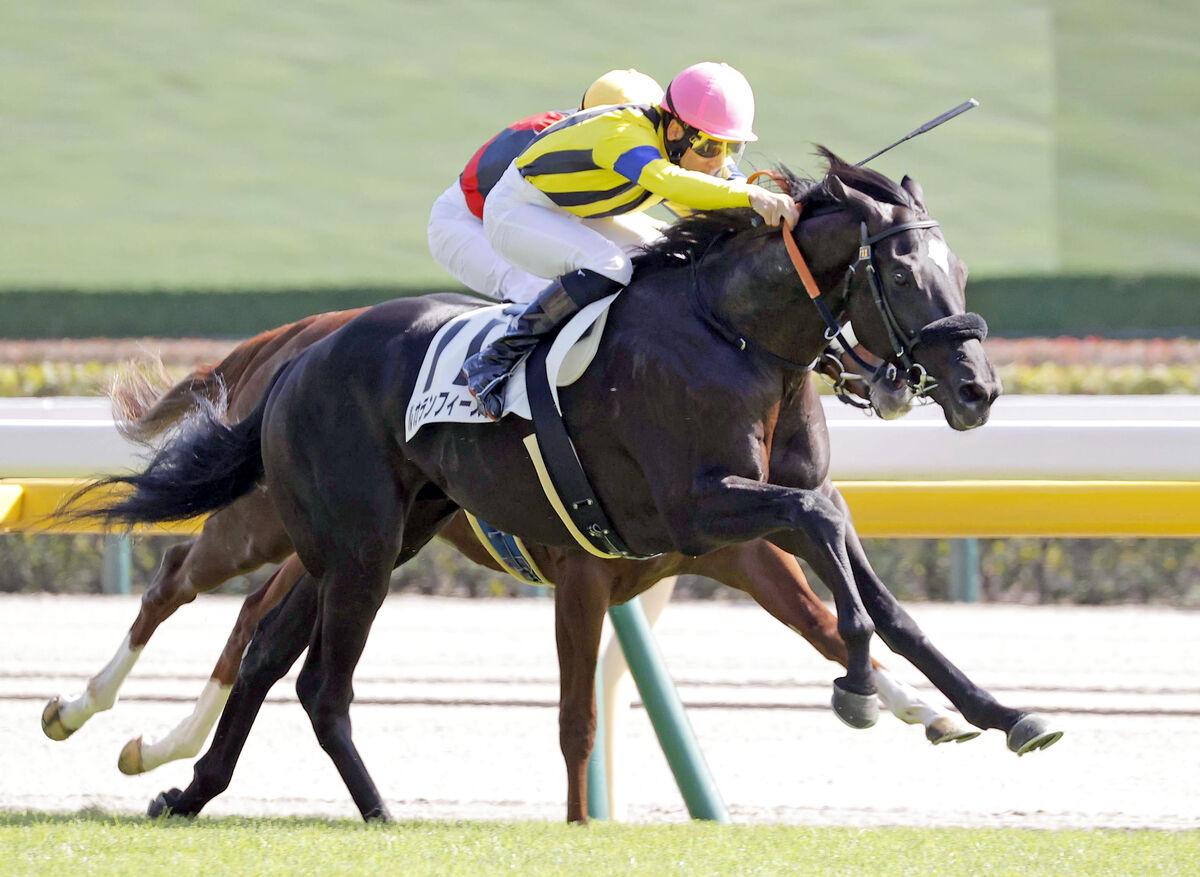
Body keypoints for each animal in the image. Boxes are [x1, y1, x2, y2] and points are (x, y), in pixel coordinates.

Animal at [65, 150, 1061, 823]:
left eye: (959, 272)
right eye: (902, 273)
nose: (977, 390)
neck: (736, 337)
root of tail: (301, 356)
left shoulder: (756, 521)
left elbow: (882, 599)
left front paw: (999, 712)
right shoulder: (696, 508)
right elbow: (823, 563)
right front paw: (860, 684)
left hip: (370, 537)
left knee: (268, 649)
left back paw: (188, 788)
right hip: (351, 546)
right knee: (292, 661)